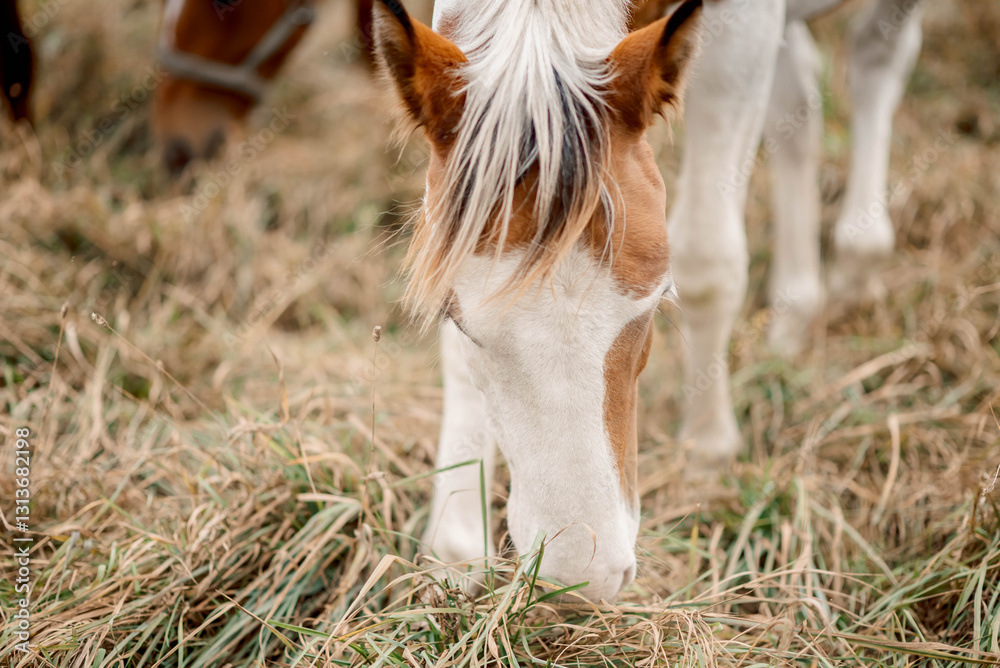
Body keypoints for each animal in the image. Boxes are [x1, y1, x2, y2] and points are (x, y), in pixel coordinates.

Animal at [372, 0, 924, 602]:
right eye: (458, 320)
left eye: (657, 304)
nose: (581, 578)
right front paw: (456, 548)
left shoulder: (744, 29)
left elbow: (708, 262)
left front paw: (706, 452)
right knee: (798, 95)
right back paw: (796, 308)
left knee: (876, 55)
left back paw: (857, 258)